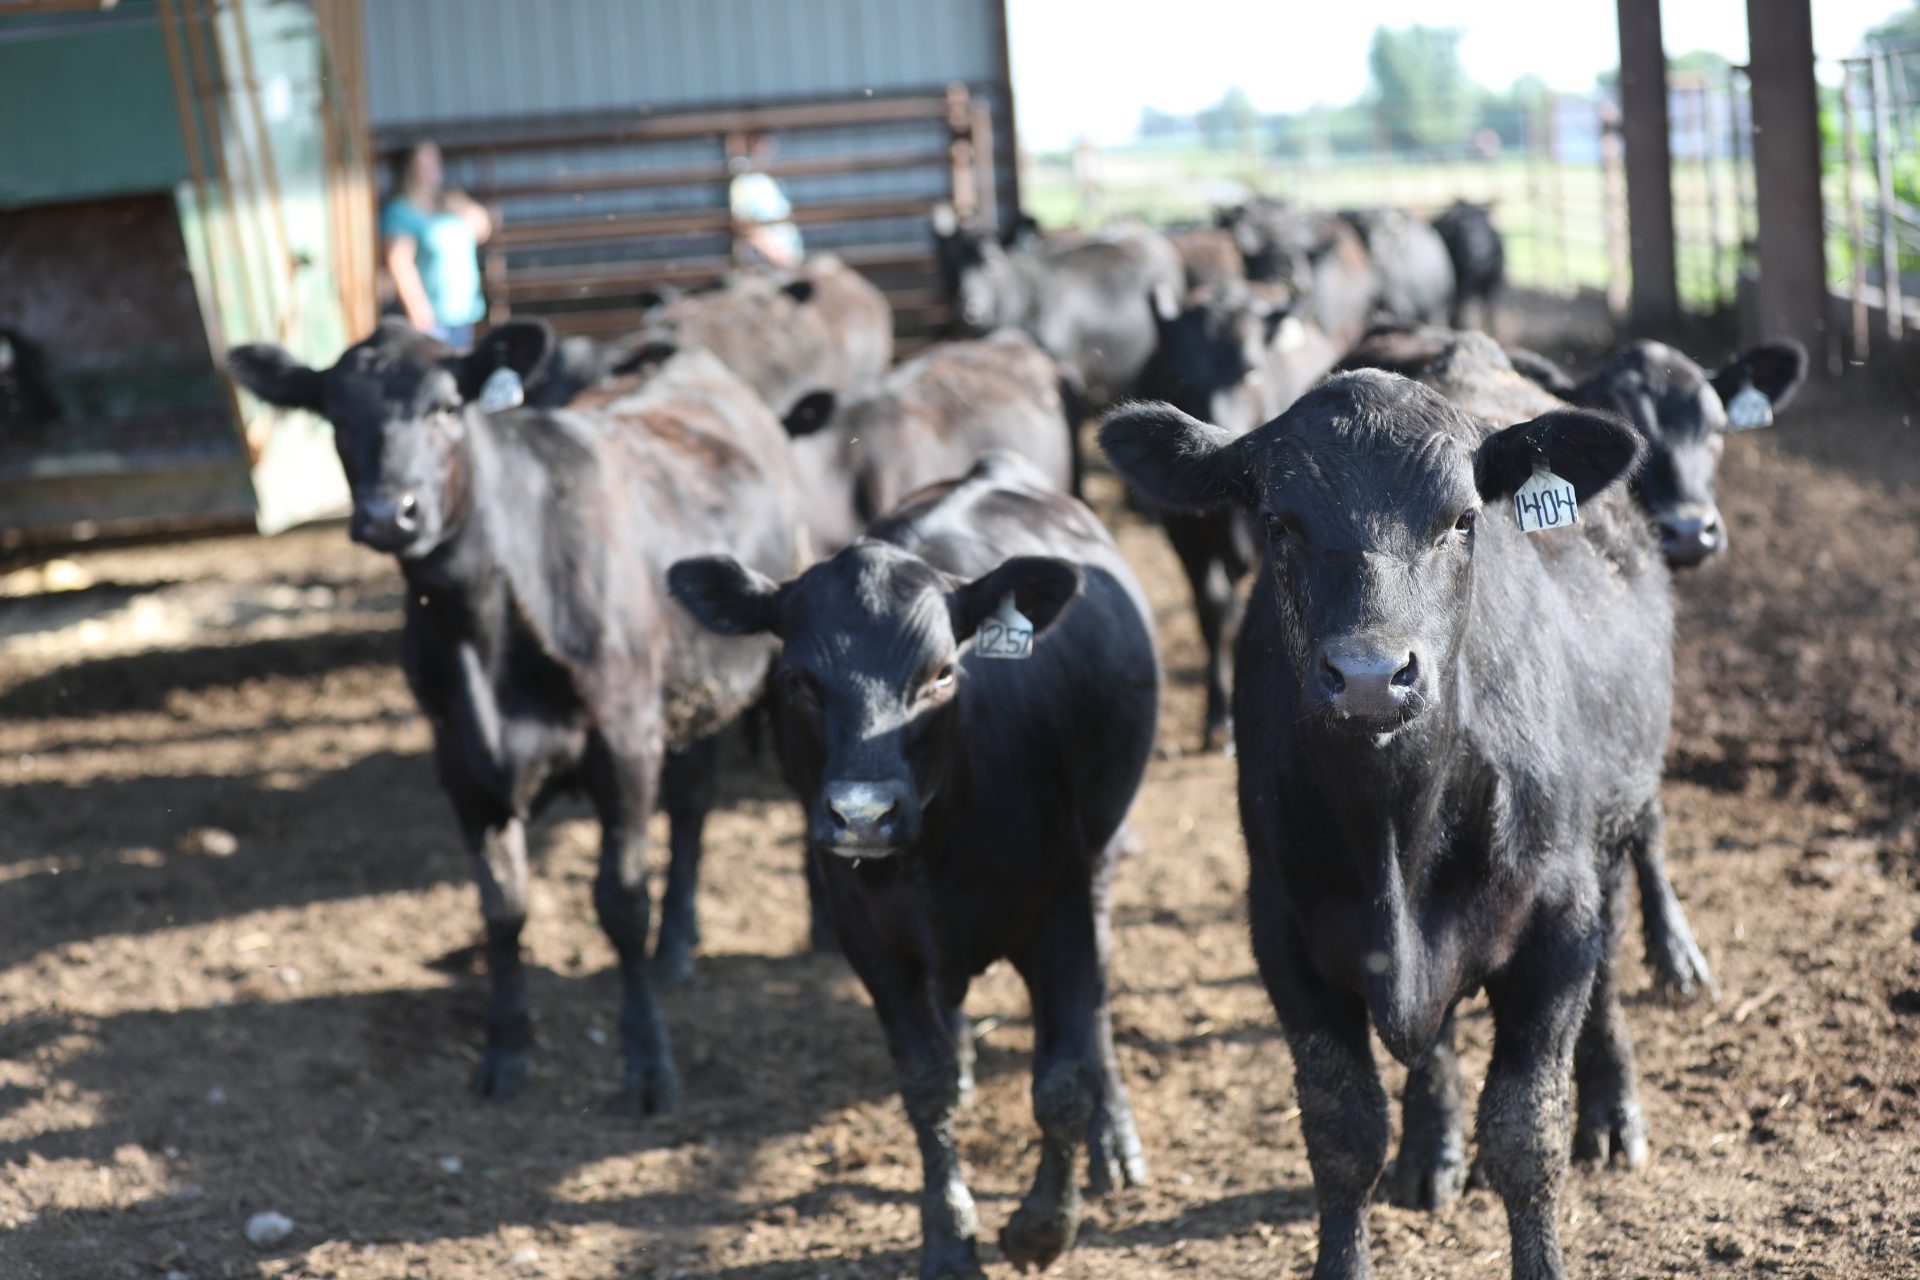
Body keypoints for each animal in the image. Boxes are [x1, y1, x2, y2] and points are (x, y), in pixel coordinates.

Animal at [226, 318, 801, 1116]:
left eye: (446, 408)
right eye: (336, 417)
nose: (389, 514)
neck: (484, 631)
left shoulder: (624, 744)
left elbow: (620, 904)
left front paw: (648, 1062)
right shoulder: (460, 766)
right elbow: (502, 906)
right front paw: (506, 1049)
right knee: (692, 801)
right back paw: (679, 941)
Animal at [669, 452, 1160, 1279]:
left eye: (940, 673)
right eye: (798, 680)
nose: (862, 814)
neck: (942, 842)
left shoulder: (1060, 908)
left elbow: (1063, 1080)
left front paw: (1043, 1226)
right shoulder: (866, 932)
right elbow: (925, 1082)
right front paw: (950, 1234)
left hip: (1105, 853)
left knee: (1093, 1014)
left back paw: (1115, 1139)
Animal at [1104, 372, 1666, 1280]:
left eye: (1463, 519)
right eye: (1278, 522)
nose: (1370, 676)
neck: (1396, 829)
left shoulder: (1558, 919)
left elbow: (1525, 1135)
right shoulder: (1285, 935)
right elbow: (1343, 1137)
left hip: (1614, 836)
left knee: (1609, 972)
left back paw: (1613, 1113)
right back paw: (1431, 1151)